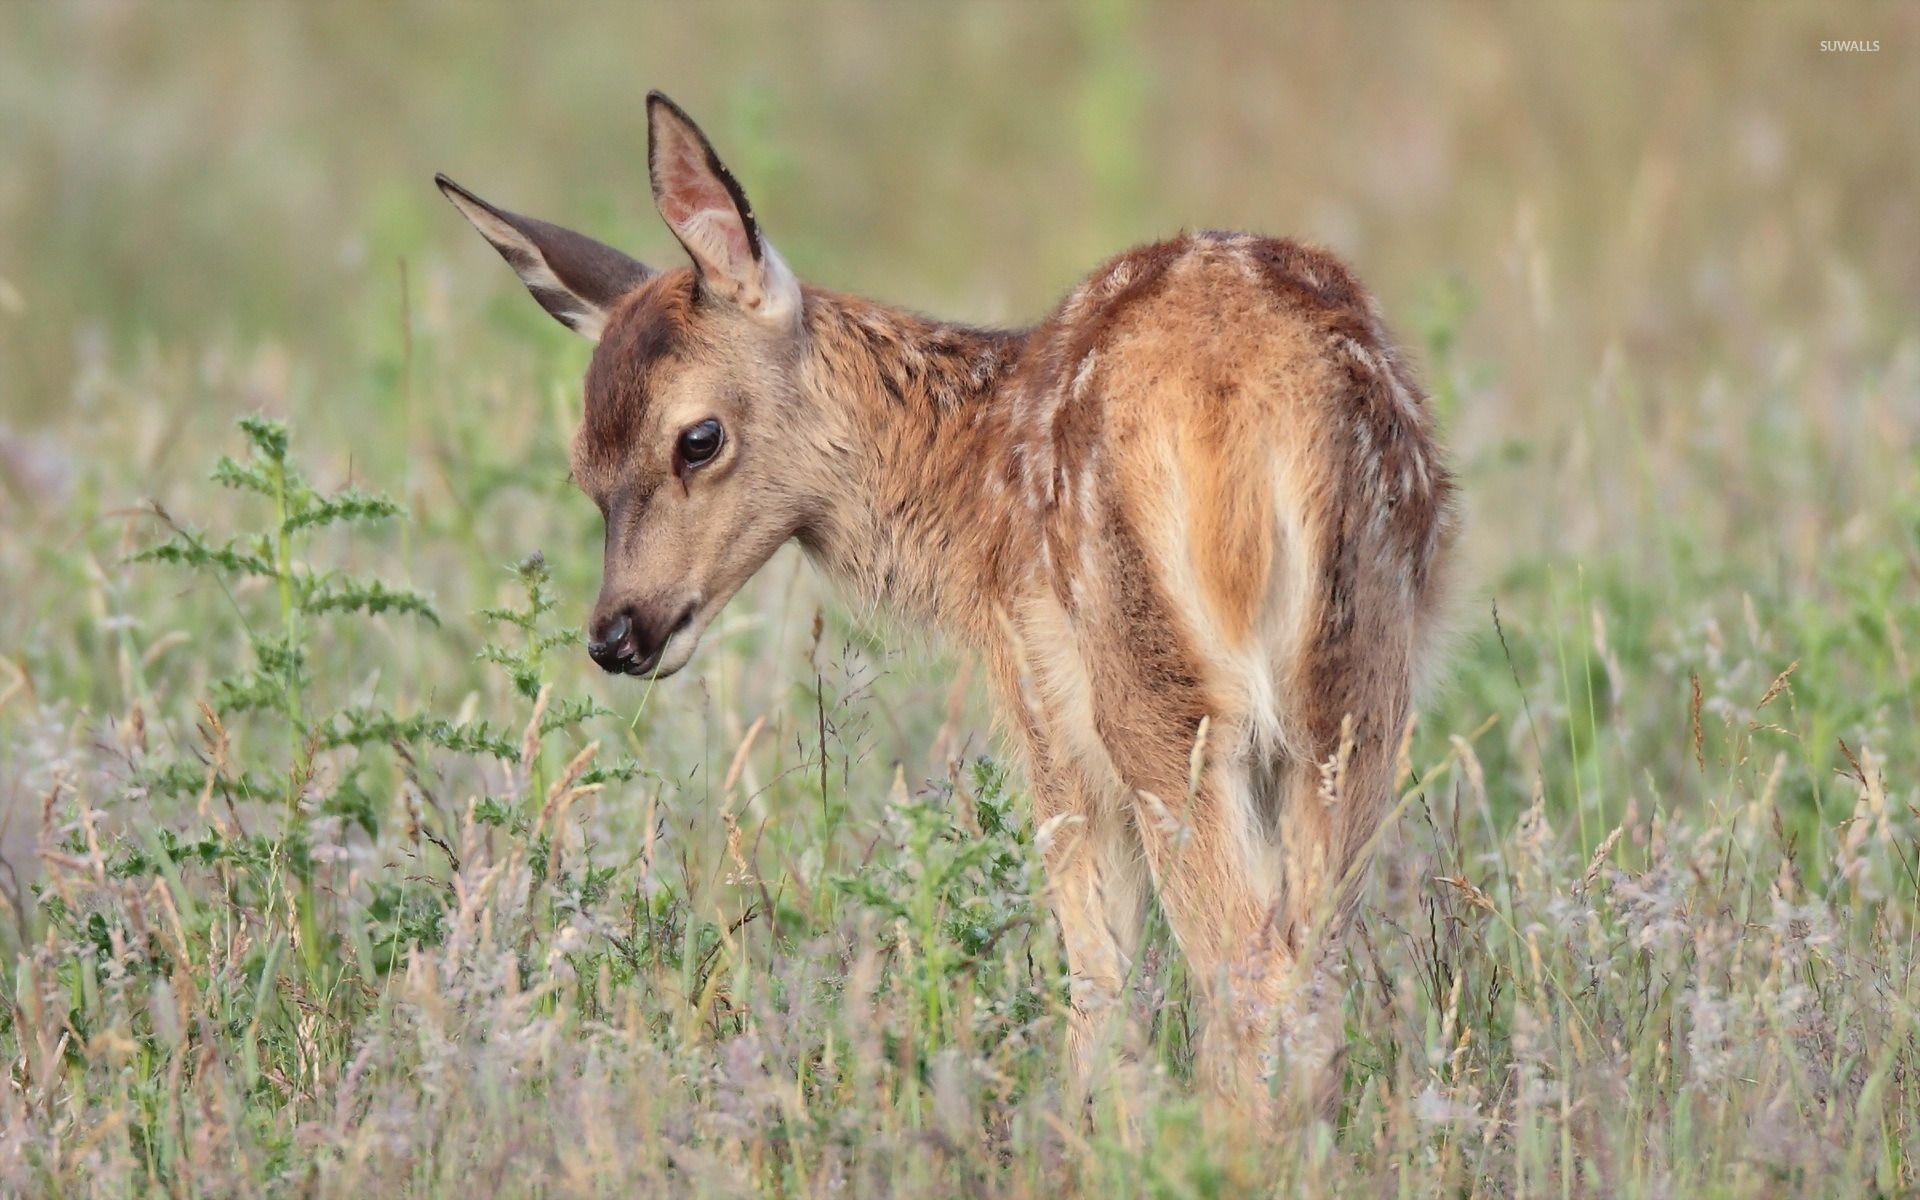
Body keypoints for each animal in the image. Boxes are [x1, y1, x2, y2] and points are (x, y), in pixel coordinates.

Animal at [438, 91, 1455, 1123]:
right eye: (581, 469)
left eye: (698, 438)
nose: (617, 633)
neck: (964, 479)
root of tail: (1247, 400)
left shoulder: (1036, 694)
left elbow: (1098, 977)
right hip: (1357, 684)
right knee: (1308, 974)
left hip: (1153, 688)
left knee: (1245, 971)